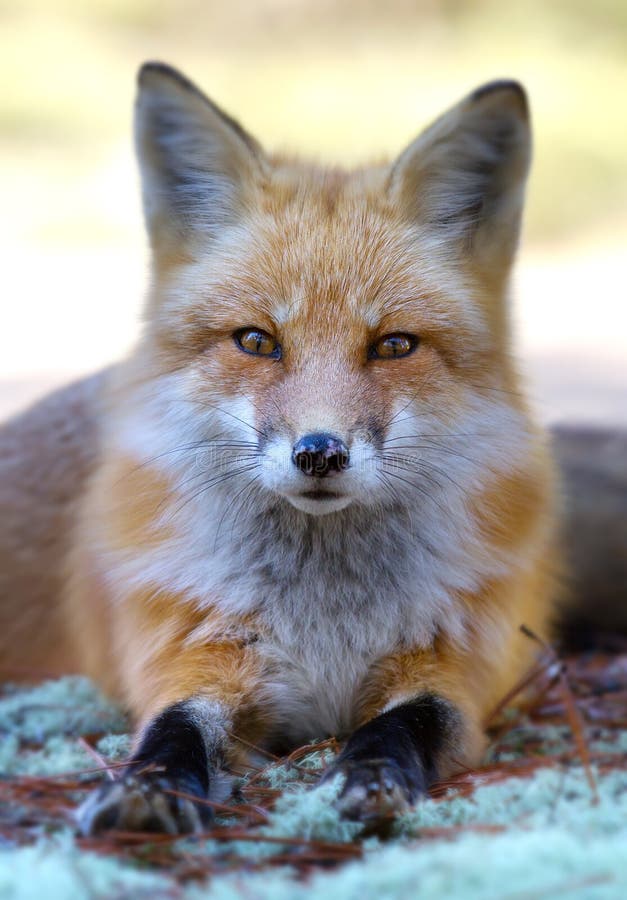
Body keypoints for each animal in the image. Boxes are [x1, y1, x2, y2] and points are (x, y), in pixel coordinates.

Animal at [0, 63, 559, 835]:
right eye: (257, 341)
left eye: (393, 345)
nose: (319, 452)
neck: (323, 622)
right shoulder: (189, 658)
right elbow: (172, 728)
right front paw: (150, 786)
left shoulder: (464, 671)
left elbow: (408, 723)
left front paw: (370, 774)